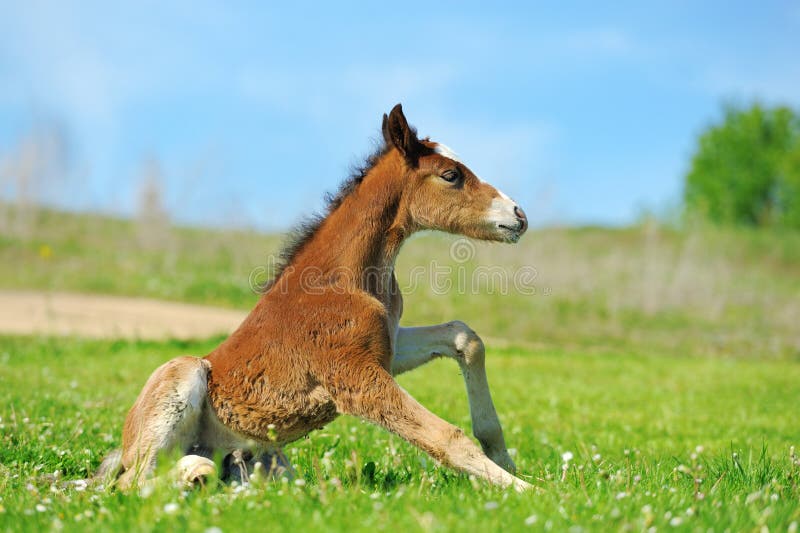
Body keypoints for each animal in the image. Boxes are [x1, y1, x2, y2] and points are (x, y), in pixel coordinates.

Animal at [96, 104, 532, 492]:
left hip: (270, 457)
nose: (518, 216)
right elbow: (444, 436)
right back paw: (196, 471)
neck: (344, 278)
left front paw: (504, 457)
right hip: (180, 378)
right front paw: (531, 491)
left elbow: (465, 337)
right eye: (451, 174)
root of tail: (124, 444)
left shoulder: (385, 348)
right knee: (132, 482)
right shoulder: (353, 378)